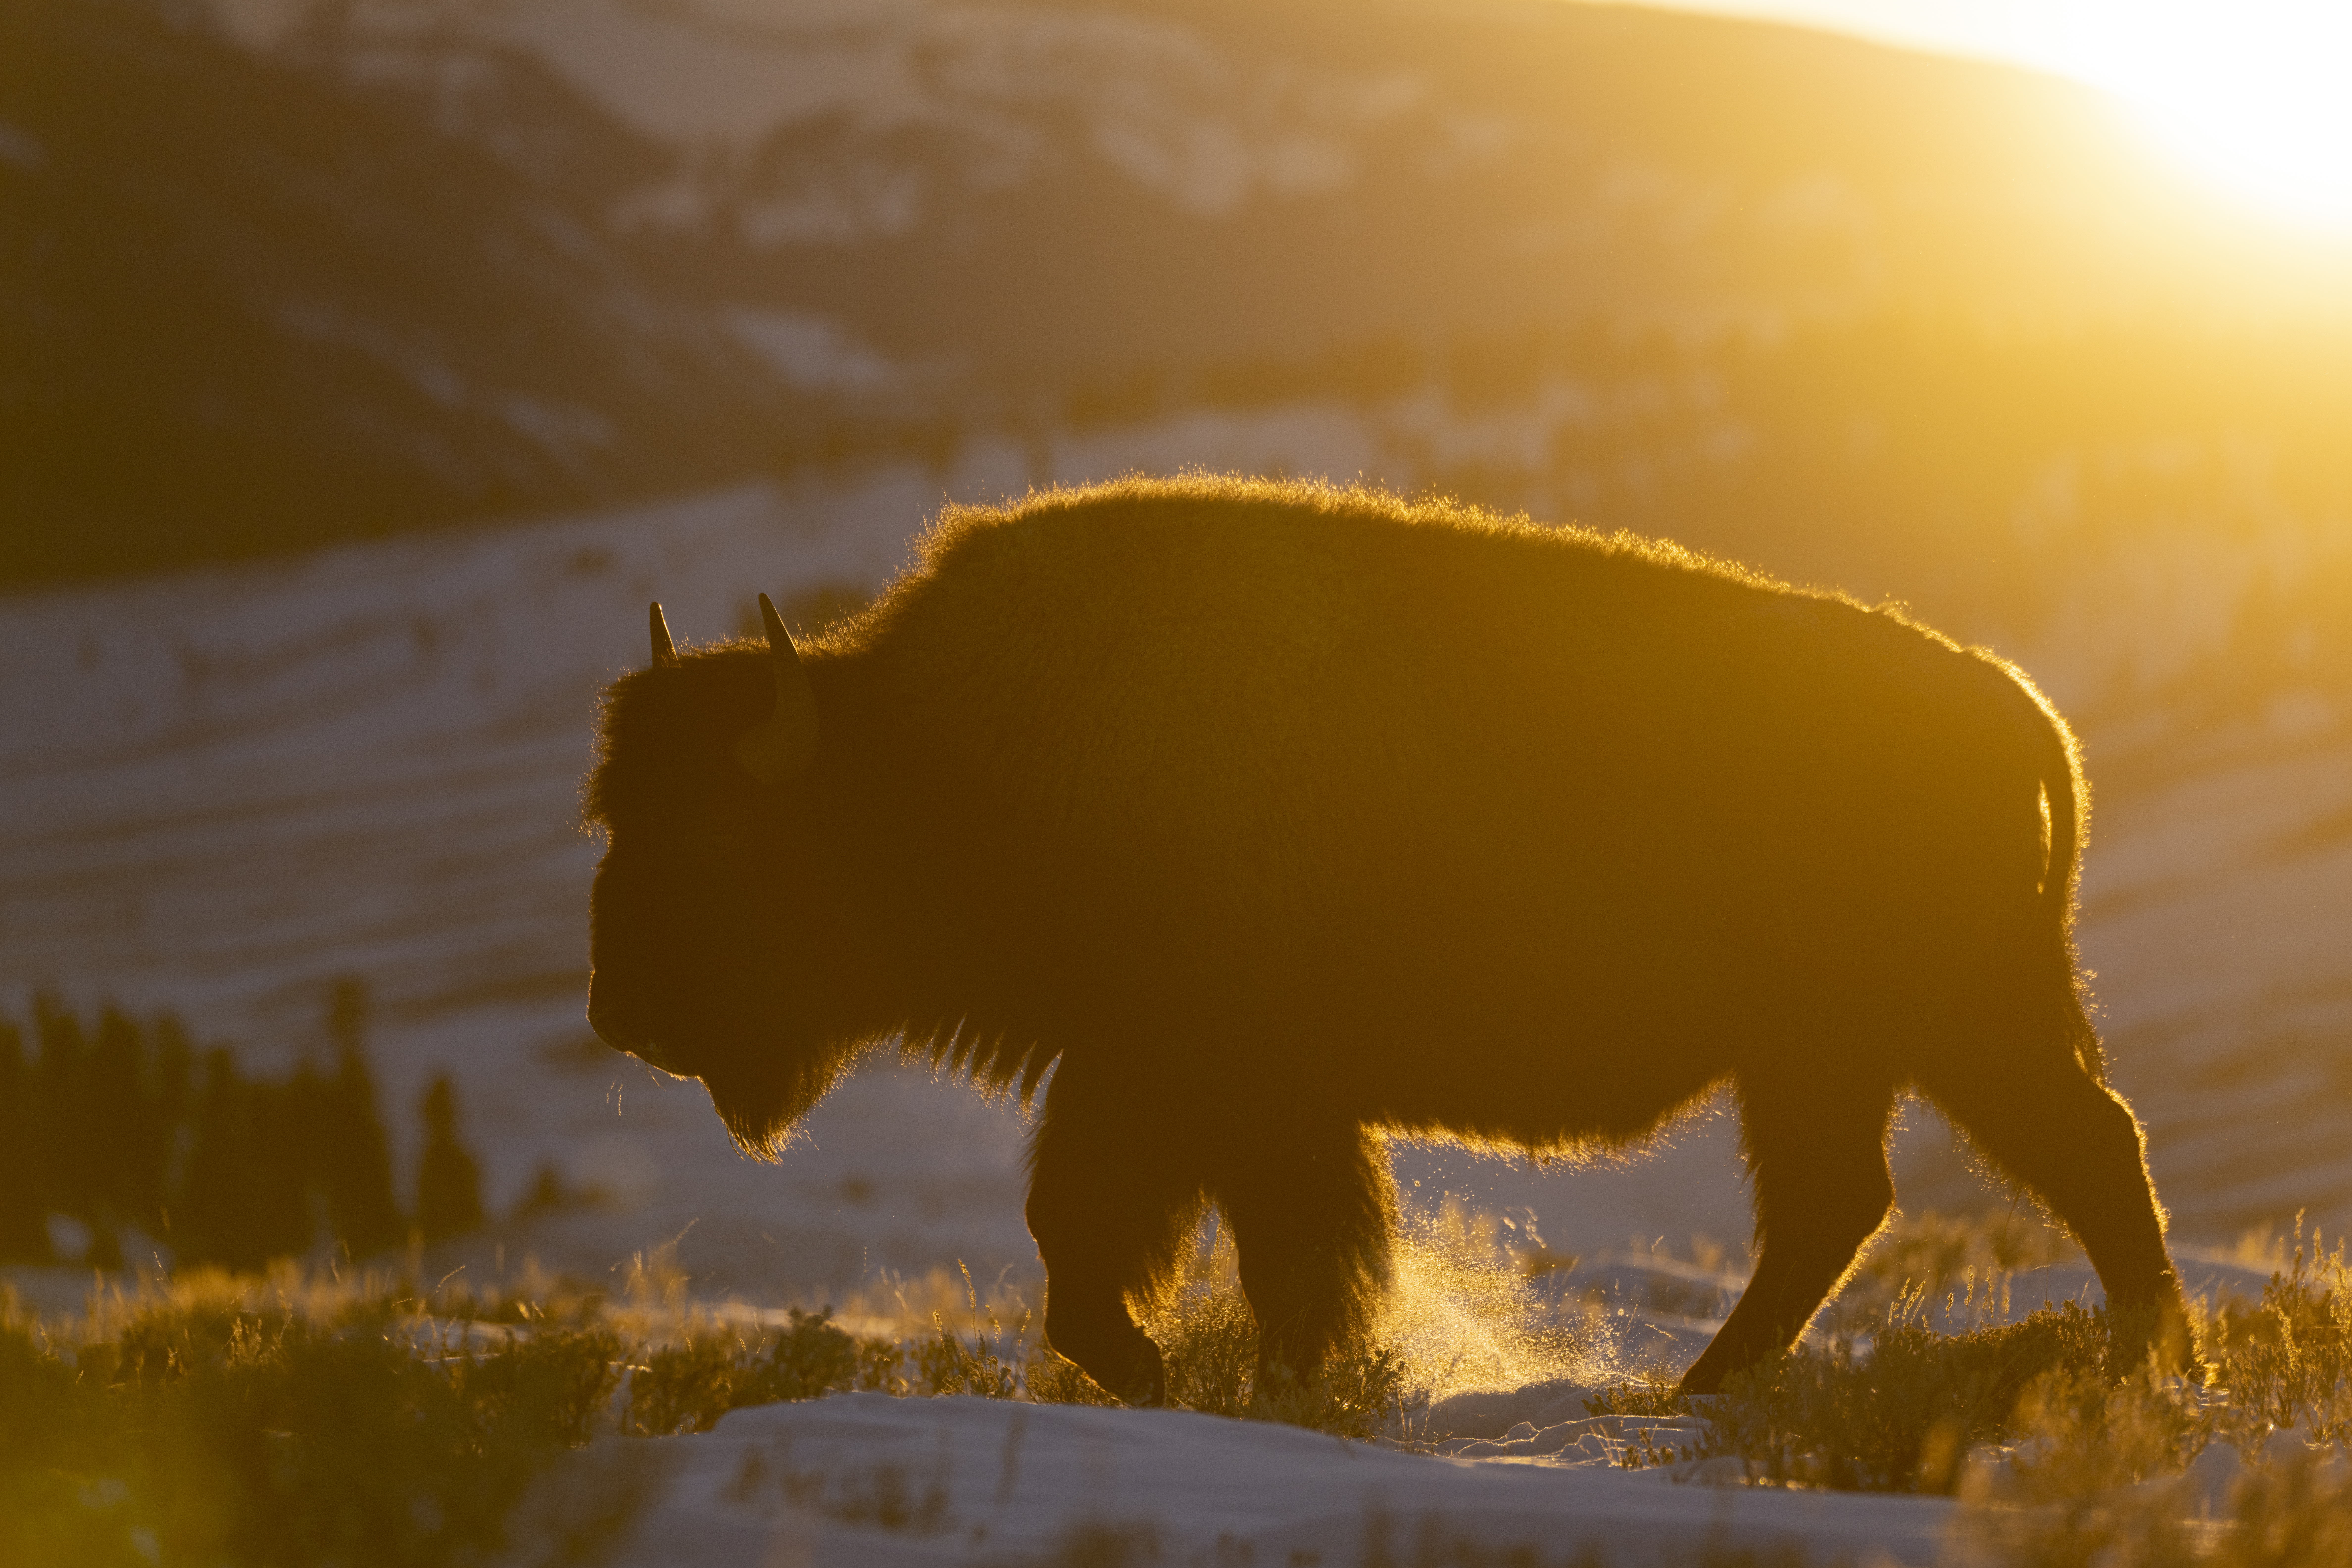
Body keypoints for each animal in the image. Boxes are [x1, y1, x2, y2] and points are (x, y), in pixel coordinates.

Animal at [583, 475, 2192, 1404]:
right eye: (611, 815)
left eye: (718, 839)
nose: (620, 1011)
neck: (944, 752)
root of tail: (2000, 694)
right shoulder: (1205, 1096)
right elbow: (1198, 1241)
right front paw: (1262, 1371)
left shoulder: (1182, 1080)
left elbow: (1136, 1238)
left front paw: (1195, 1370)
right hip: (1857, 1048)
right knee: (1878, 1198)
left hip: (1912, 1031)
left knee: (2053, 1161)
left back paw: (2130, 1363)